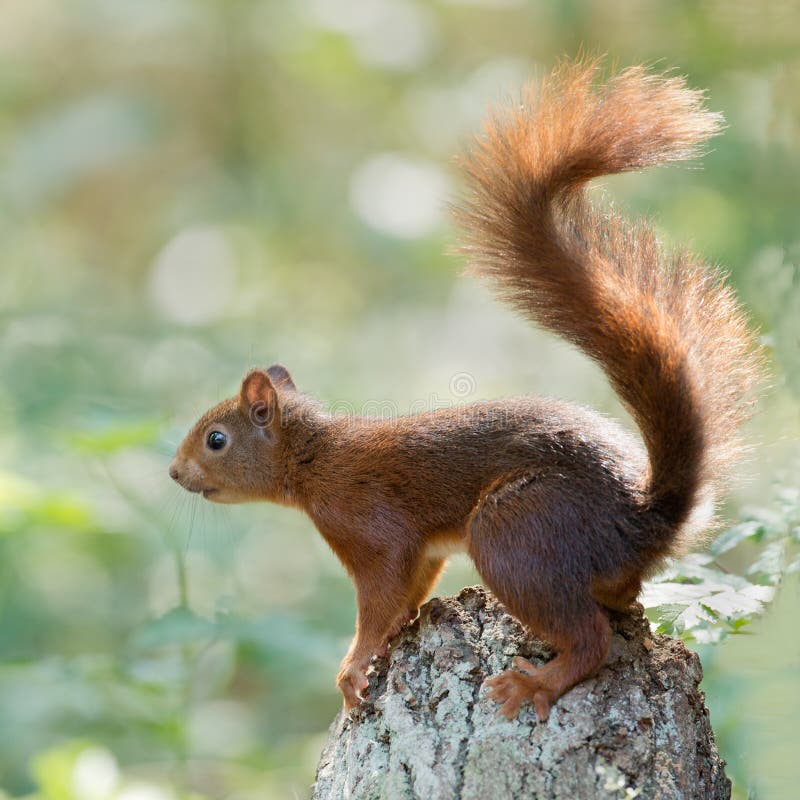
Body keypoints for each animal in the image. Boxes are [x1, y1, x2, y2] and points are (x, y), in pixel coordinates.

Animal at [169, 59, 762, 721]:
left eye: (216, 439)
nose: (174, 472)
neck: (314, 457)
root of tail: (643, 520)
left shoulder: (371, 529)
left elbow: (380, 598)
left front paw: (353, 669)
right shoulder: (422, 552)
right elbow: (410, 593)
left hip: (515, 530)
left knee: (590, 639)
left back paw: (536, 684)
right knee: (620, 601)